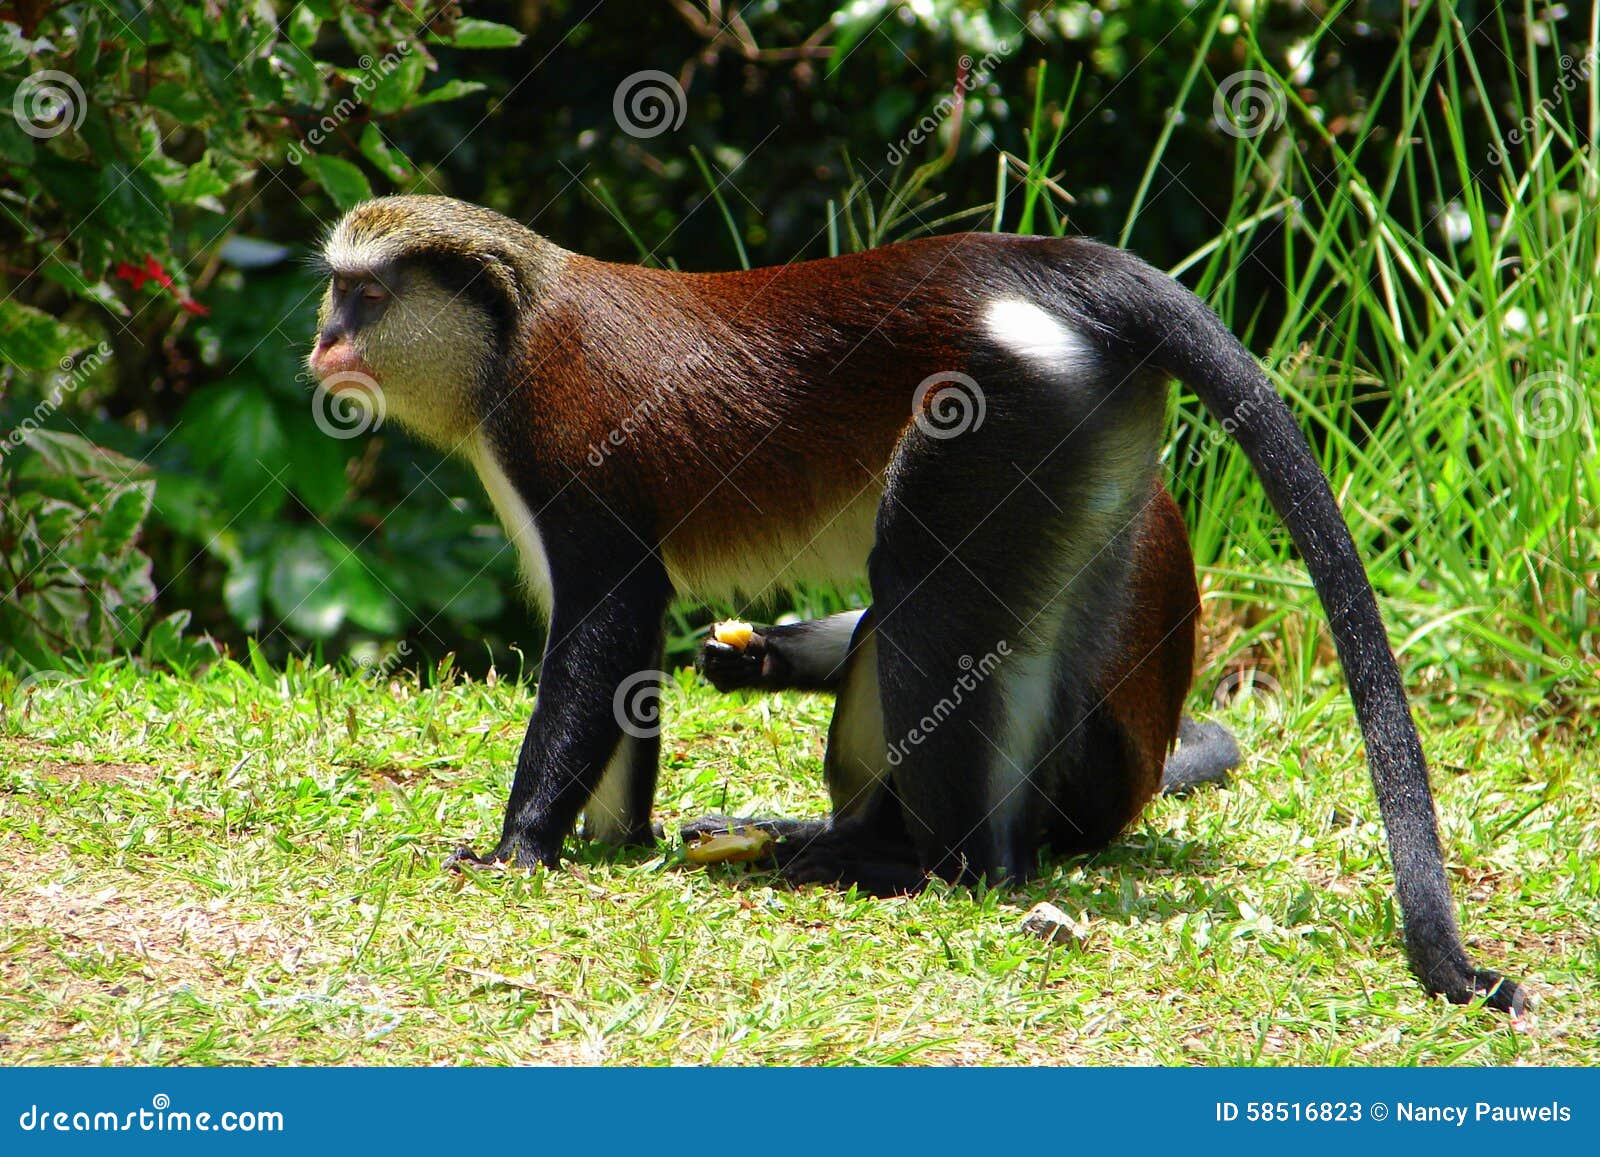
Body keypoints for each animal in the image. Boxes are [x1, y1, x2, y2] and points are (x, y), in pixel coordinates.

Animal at [307, 194, 1521, 1012]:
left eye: (364, 294)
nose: (320, 342)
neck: (510, 328)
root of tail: (1040, 265)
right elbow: (629, 649)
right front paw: (614, 839)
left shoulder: (558, 430)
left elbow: (609, 617)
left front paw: (517, 848)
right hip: (1087, 442)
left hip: (1000, 408)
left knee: (923, 601)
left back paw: (921, 864)